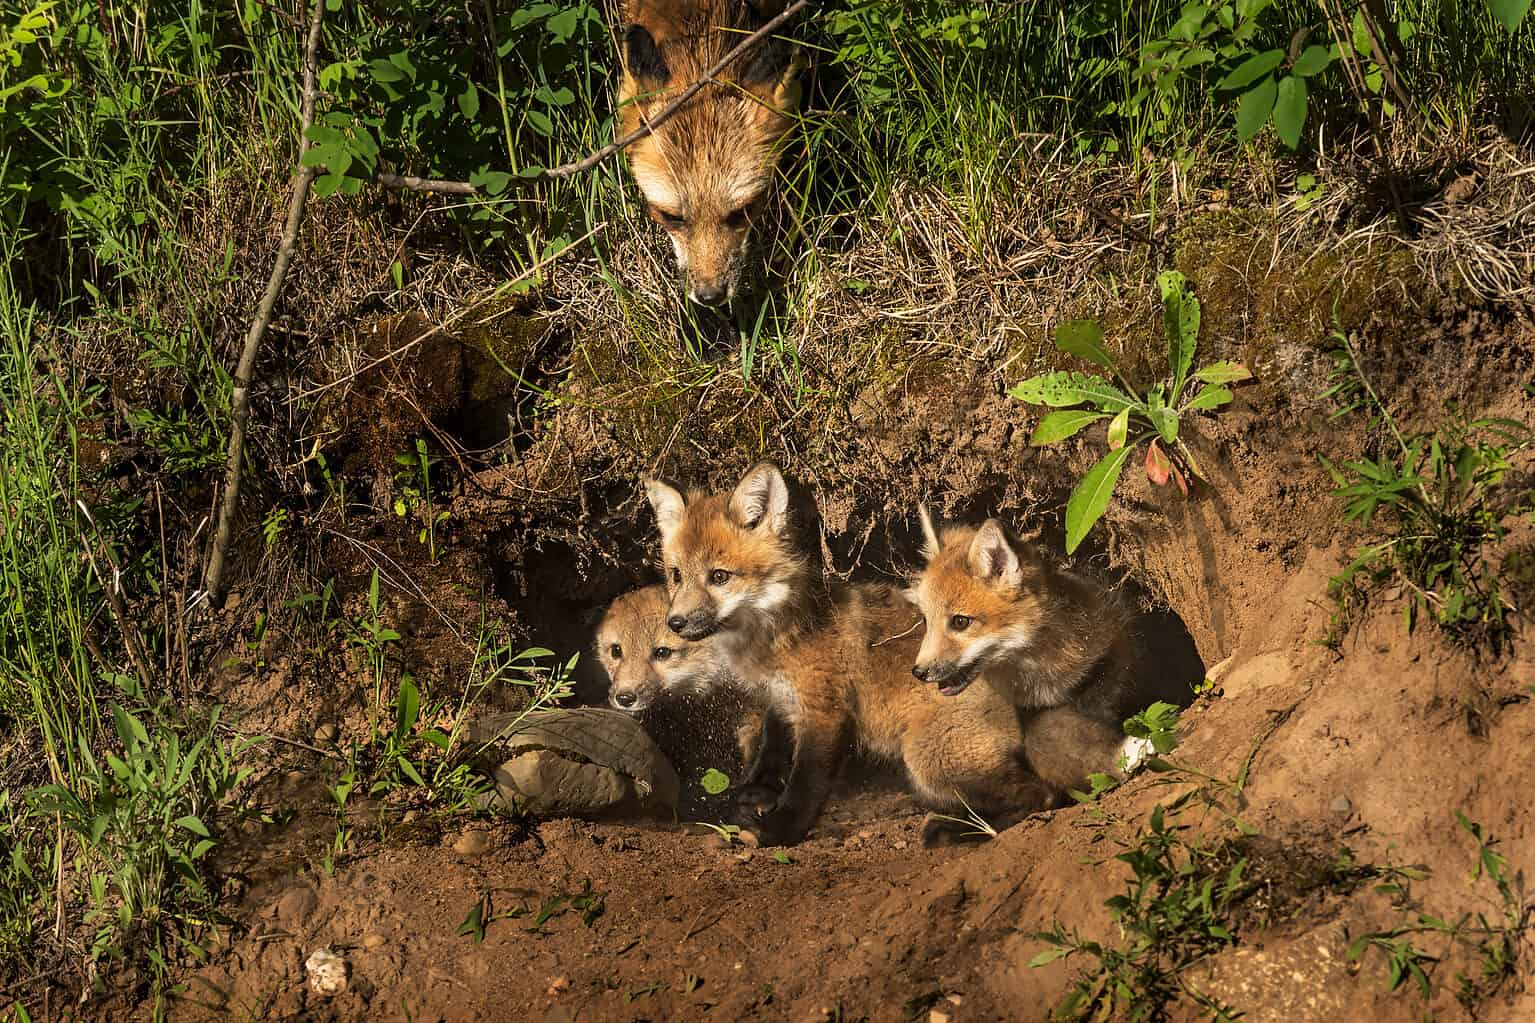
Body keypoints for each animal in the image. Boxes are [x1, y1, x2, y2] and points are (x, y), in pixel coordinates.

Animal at [644, 463, 1102, 846]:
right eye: (676, 575)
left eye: (720, 577)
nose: (676, 622)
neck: (776, 640)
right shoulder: (781, 703)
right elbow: (768, 757)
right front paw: (750, 797)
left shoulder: (824, 710)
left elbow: (805, 782)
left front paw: (779, 829)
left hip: (928, 759)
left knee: (1042, 795)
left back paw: (955, 831)